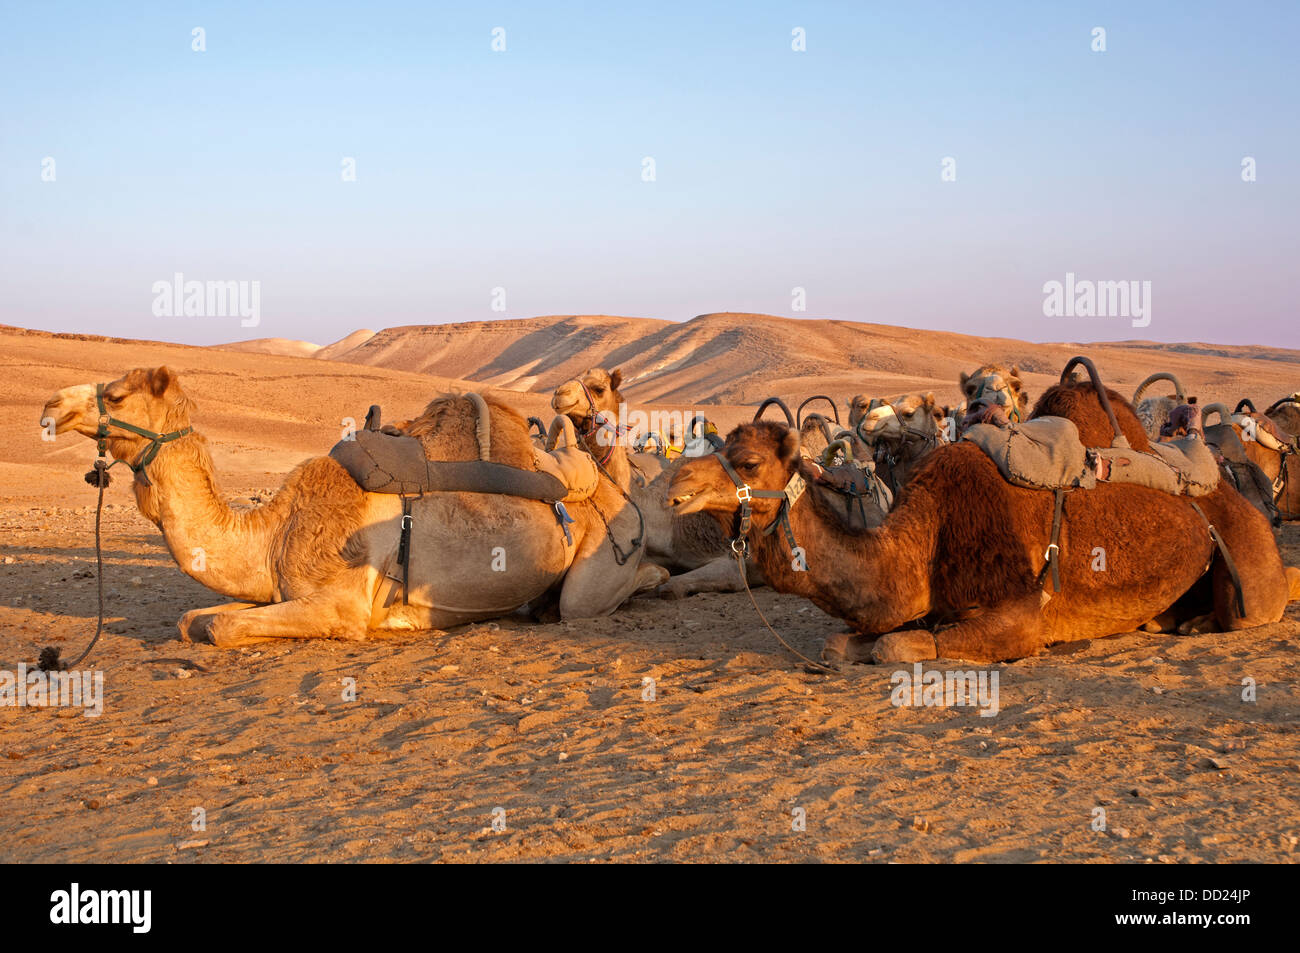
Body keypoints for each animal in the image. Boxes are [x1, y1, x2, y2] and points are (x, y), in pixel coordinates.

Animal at [41, 366, 664, 647]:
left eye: (117, 395)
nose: (50, 405)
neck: (275, 529)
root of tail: (616, 491)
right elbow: (194, 619)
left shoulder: (338, 606)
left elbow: (218, 625)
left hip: (601, 557)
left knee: (586, 601)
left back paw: (656, 576)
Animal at [669, 382, 1300, 665]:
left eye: (750, 462)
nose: (676, 487)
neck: (924, 540)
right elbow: (840, 643)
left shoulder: (1020, 615)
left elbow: (896, 647)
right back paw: (1170, 621)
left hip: (1250, 570)